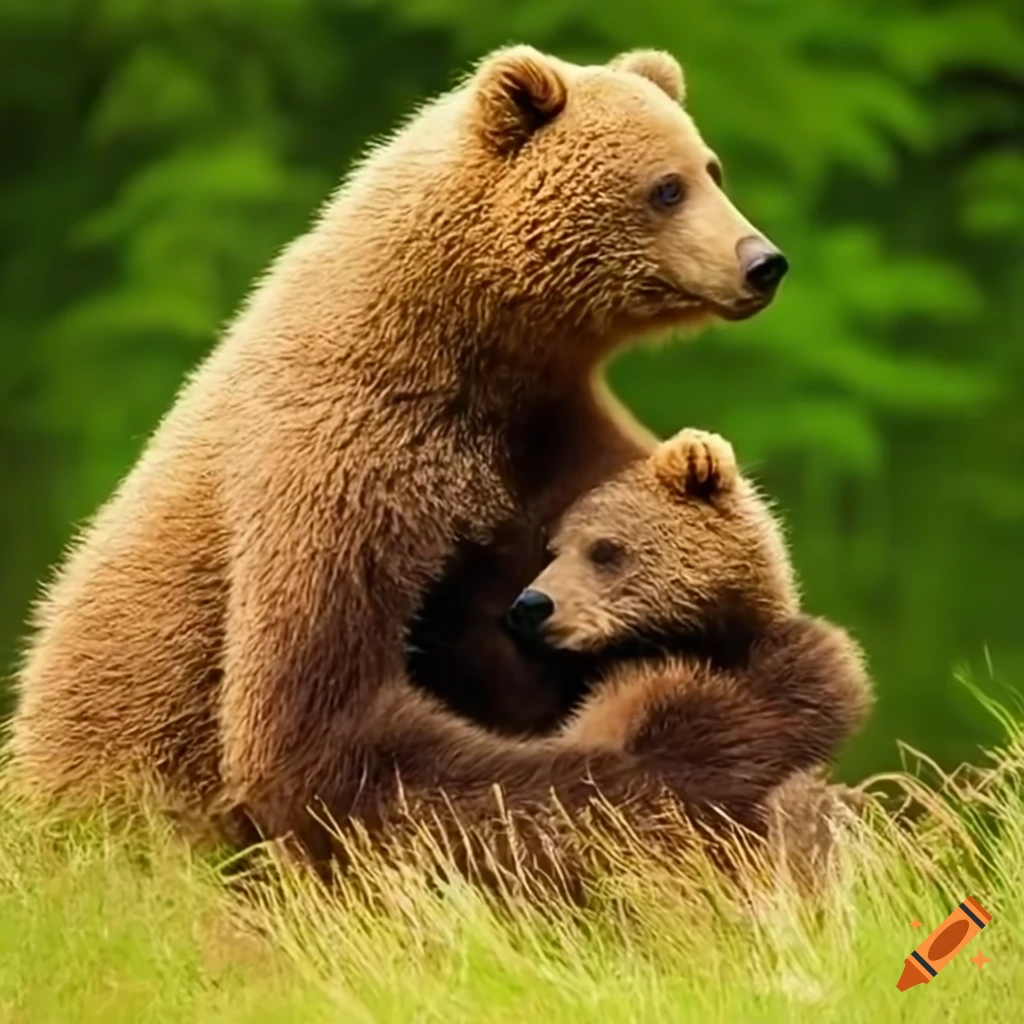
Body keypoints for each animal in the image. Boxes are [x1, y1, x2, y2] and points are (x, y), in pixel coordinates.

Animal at [8, 45, 789, 863]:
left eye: (712, 168)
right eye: (666, 186)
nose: (762, 261)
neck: (467, 352)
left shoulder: (543, 444)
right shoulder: (339, 465)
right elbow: (321, 719)